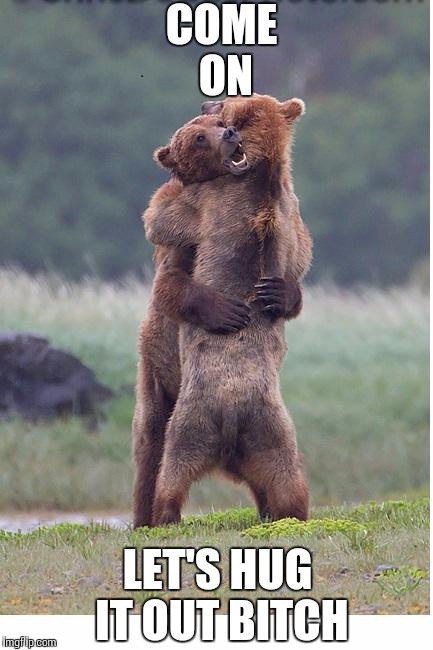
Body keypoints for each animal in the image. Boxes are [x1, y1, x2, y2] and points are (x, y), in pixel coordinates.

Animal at [132, 113, 253, 529]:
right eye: (199, 138)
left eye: (218, 121)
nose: (230, 134)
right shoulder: (179, 247)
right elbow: (170, 285)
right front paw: (228, 310)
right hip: (155, 375)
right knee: (150, 443)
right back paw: (144, 517)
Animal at [144, 94, 312, 526]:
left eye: (225, 106)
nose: (209, 101)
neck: (261, 172)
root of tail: (233, 421)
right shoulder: (290, 208)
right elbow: (301, 251)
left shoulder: (206, 204)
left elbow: (161, 218)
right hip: (274, 434)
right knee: (290, 481)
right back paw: (292, 513)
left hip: (190, 423)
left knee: (170, 472)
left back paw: (163, 514)